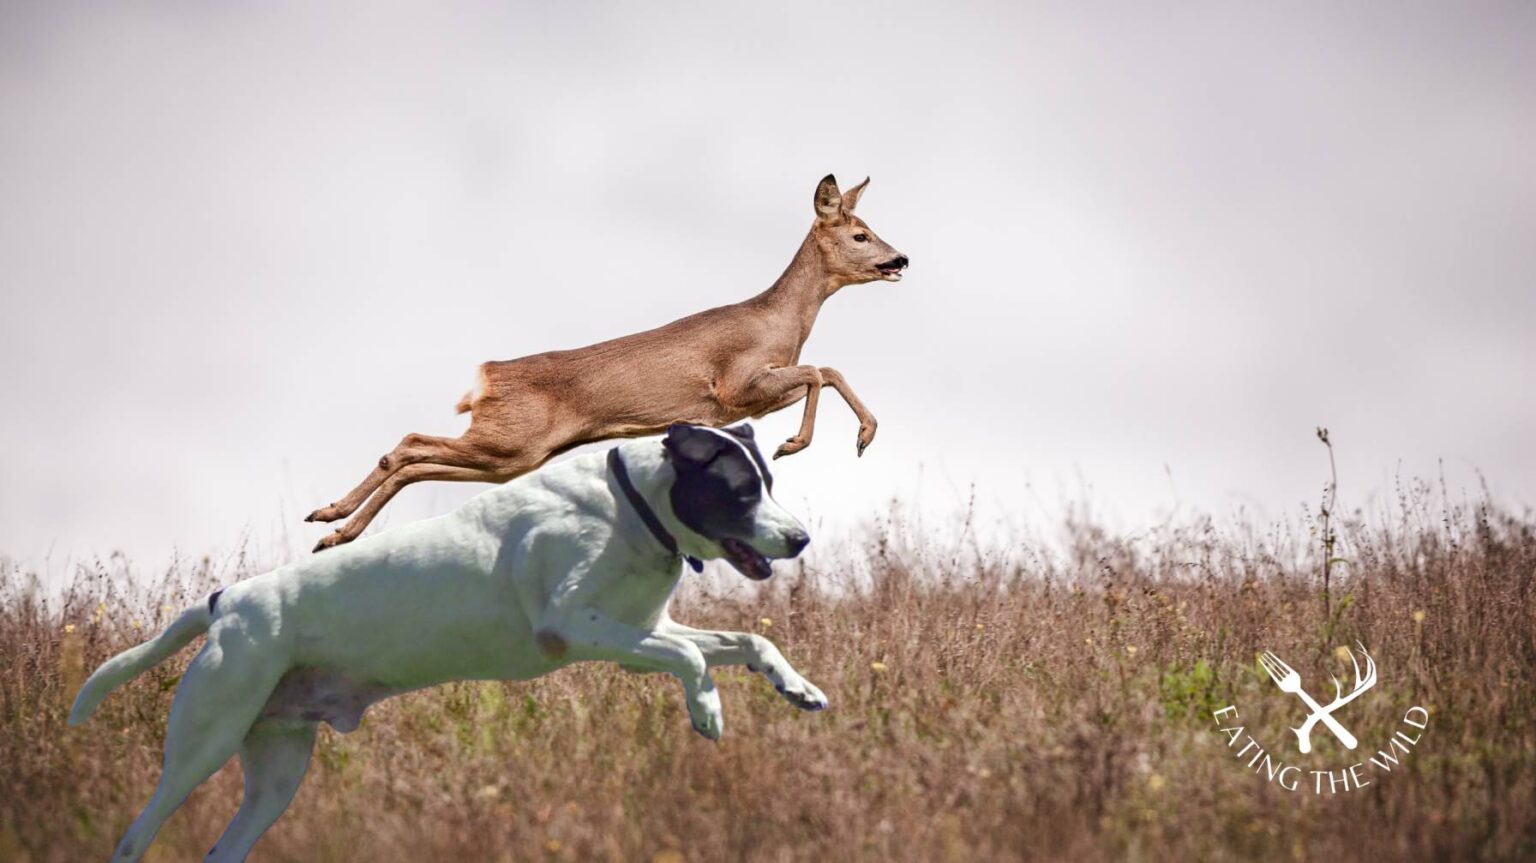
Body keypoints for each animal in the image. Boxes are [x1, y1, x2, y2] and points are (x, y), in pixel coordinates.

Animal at [305, 174, 908, 552]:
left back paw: (331, 529)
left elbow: (827, 371)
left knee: (417, 461)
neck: (781, 324)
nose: (900, 258)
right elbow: (819, 371)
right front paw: (799, 444)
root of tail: (484, 378)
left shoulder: (753, 398)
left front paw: (861, 435)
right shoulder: (734, 386)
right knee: (408, 445)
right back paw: (330, 521)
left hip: (513, 456)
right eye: (861, 234)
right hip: (510, 440)